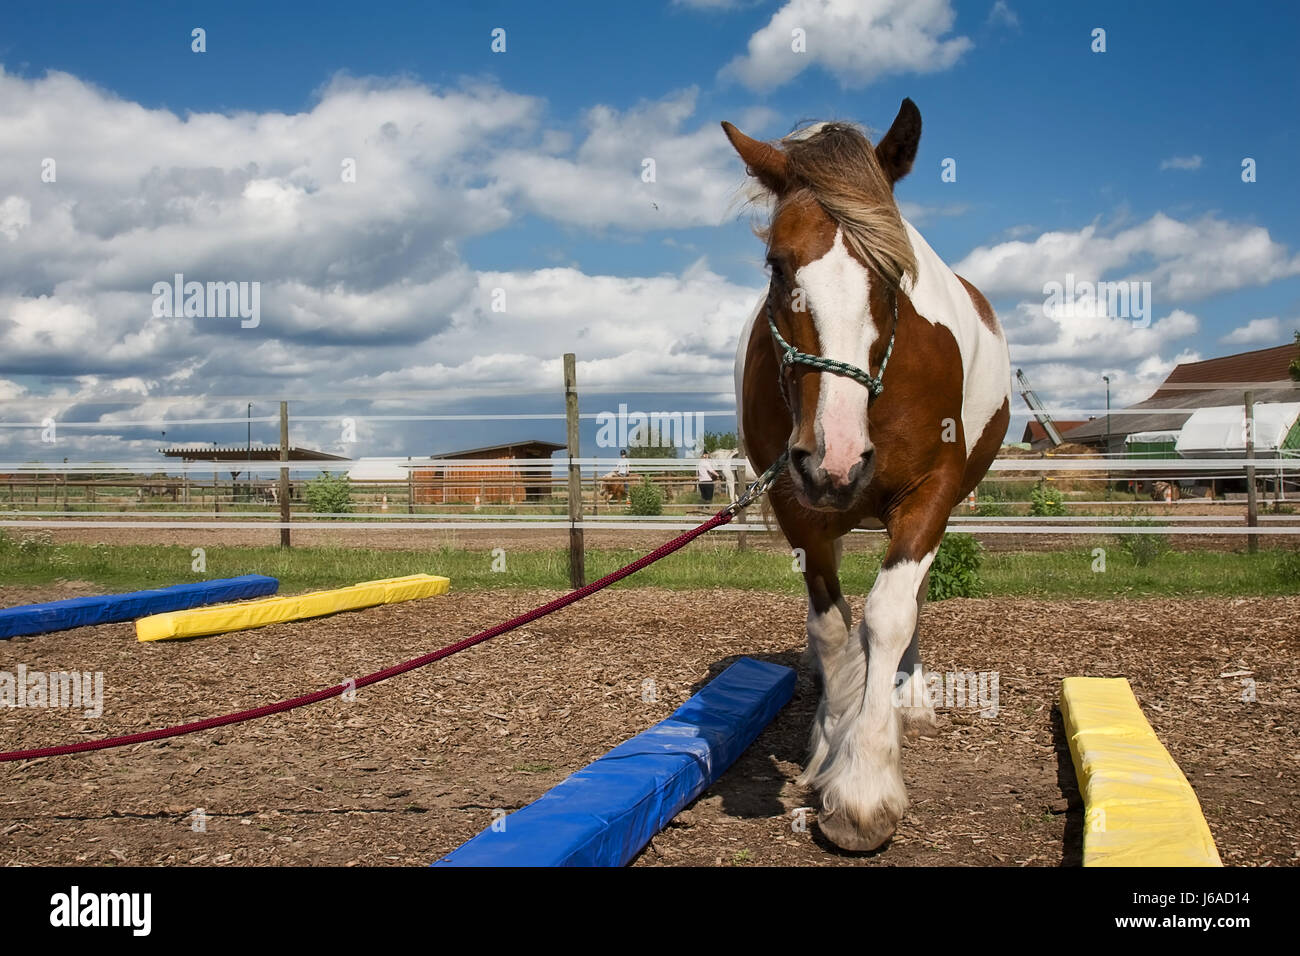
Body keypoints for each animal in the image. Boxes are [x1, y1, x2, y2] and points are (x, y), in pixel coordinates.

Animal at [724, 100, 1011, 851]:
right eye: (776, 265)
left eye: (892, 272)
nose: (837, 457)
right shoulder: (799, 504)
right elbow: (831, 625)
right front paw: (832, 741)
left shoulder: (931, 494)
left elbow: (887, 615)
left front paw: (864, 786)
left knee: (910, 602)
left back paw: (906, 696)